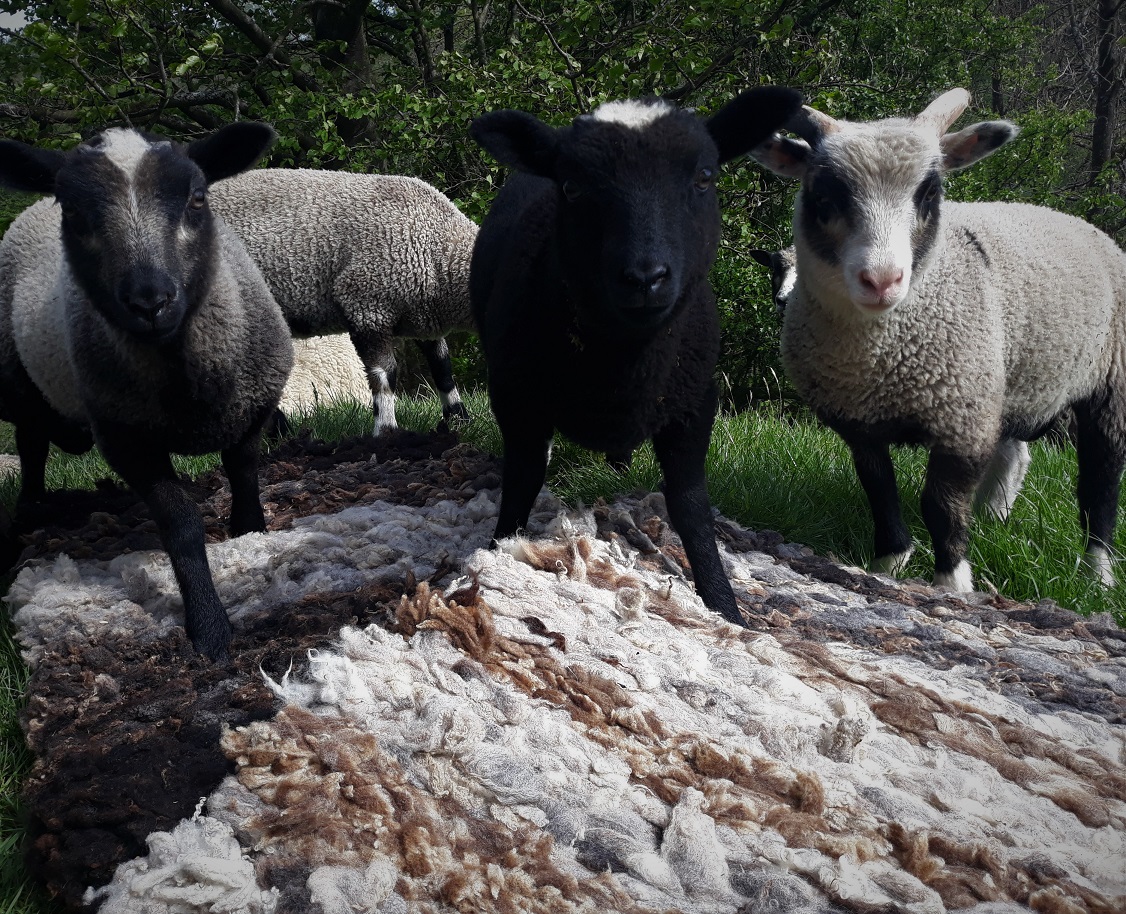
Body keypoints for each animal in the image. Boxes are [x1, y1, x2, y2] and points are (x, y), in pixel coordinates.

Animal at [0, 123, 294, 660]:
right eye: (73, 213)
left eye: (197, 199)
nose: (150, 302)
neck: (186, 378)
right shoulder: (126, 439)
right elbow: (180, 525)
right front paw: (209, 628)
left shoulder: (253, 407)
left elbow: (244, 474)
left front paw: (251, 532)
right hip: (21, 382)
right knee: (31, 445)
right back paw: (31, 510)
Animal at [206, 168, 478, 435]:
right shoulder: (367, 303)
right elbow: (384, 373)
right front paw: (386, 429)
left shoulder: (420, 317)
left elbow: (442, 366)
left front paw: (458, 419)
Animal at [469, 86, 803, 627]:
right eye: (572, 187)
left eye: (704, 176)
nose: (645, 278)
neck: (624, 364)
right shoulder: (516, 398)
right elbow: (522, 479)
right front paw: (500, 552)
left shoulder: (695, 403)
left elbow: (690, 505)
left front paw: (723, 605)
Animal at [750, 88, 1126, 592]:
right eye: (823, 194)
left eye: (930, 192)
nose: (881, 280)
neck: (879, 357)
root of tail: (1070, 218)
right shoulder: (858, 422)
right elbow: (880, 491)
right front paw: (889, 562)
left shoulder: (960, 421)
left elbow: (941, 505)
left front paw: (952, 581)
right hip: (1004, 378)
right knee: (1015, 453)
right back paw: (995, 515)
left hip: (1109, 380)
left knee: (1102, 479)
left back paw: (1097, 572)